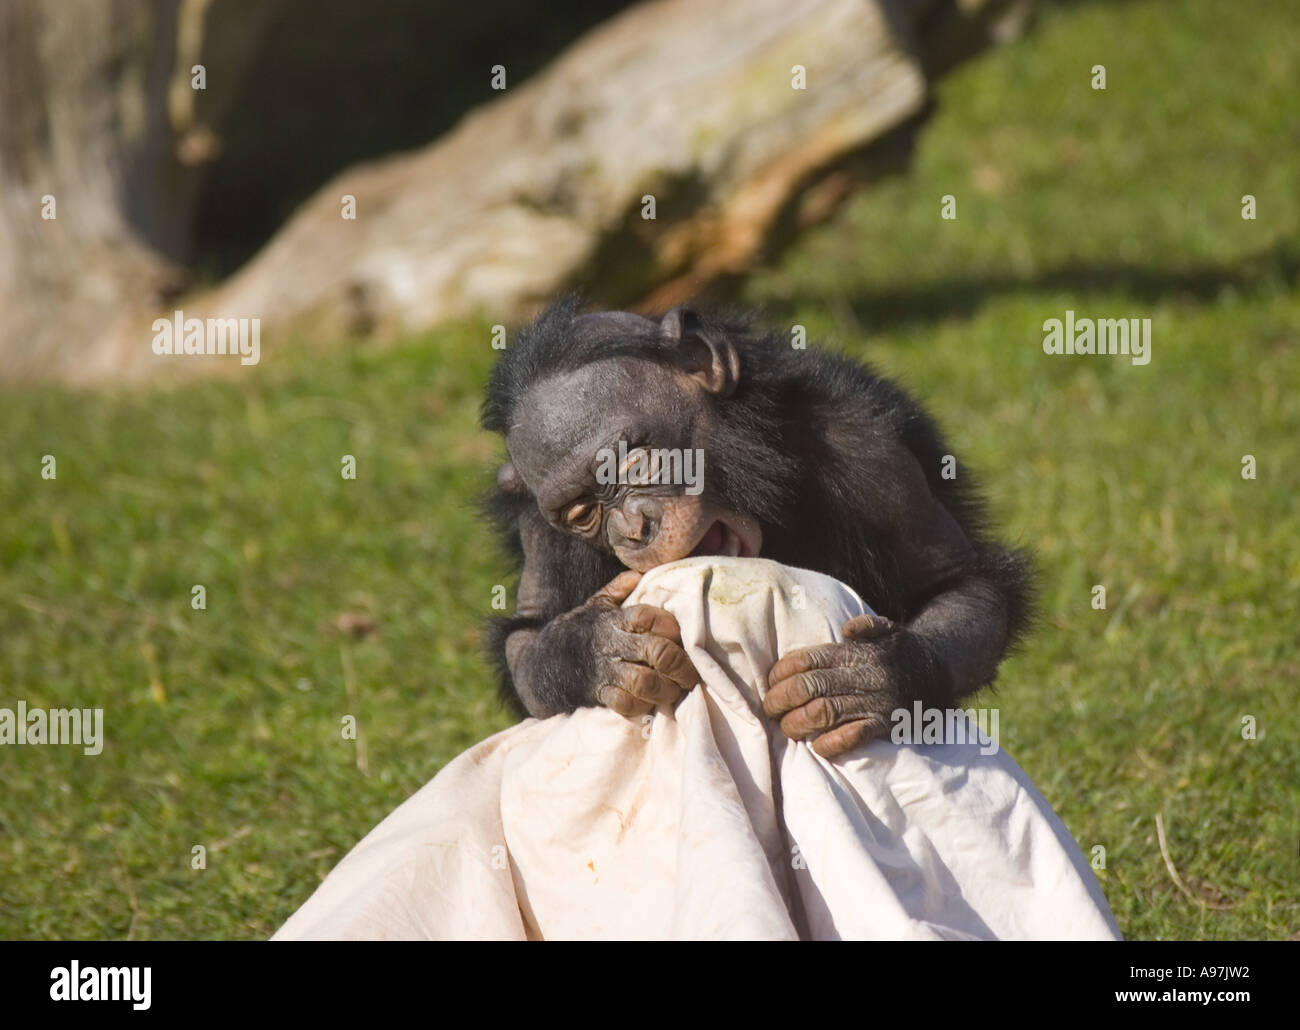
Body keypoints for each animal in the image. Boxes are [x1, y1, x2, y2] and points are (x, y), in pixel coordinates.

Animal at [481, 297, 1033, 758]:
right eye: (580, 512)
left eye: (632, 460)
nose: (632, 529)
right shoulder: (535, 520)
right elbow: (528, 637)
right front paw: (601, 650)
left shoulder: (868, 444)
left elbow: (955, 583)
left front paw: (871, 677)